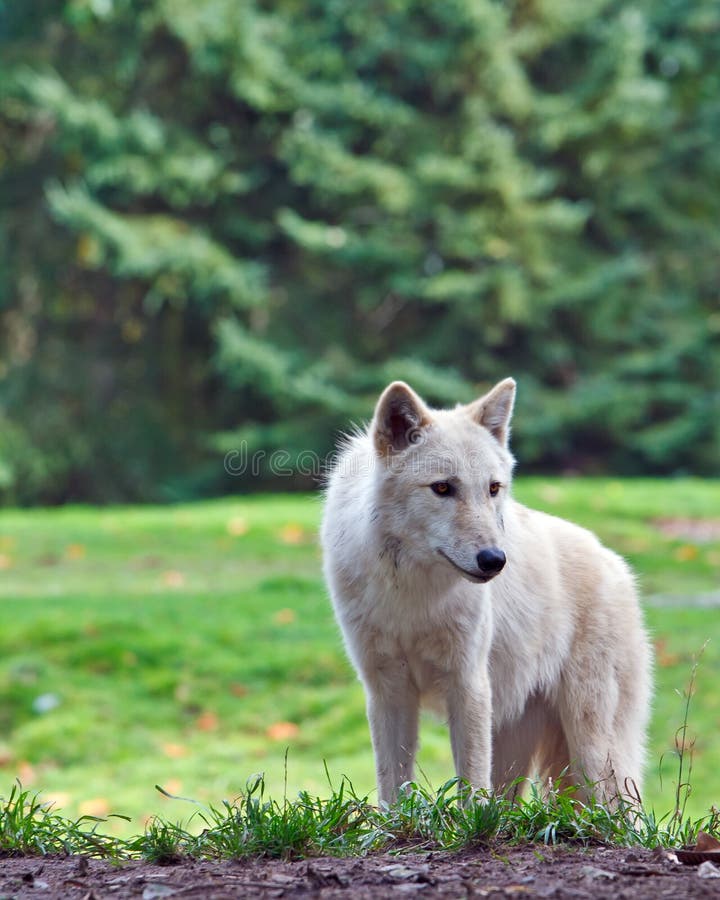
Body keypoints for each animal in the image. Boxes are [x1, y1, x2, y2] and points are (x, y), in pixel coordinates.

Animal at [321, 377, 652, 807]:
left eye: (493, 488)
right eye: (442, 488)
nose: (495, 560)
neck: (413, 592)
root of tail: (618, 566)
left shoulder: (468, 682)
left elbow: (472, 787)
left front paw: (470, 822)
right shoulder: (387, 689)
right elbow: (392, 787)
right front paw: (397, 823)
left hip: (593, 753)